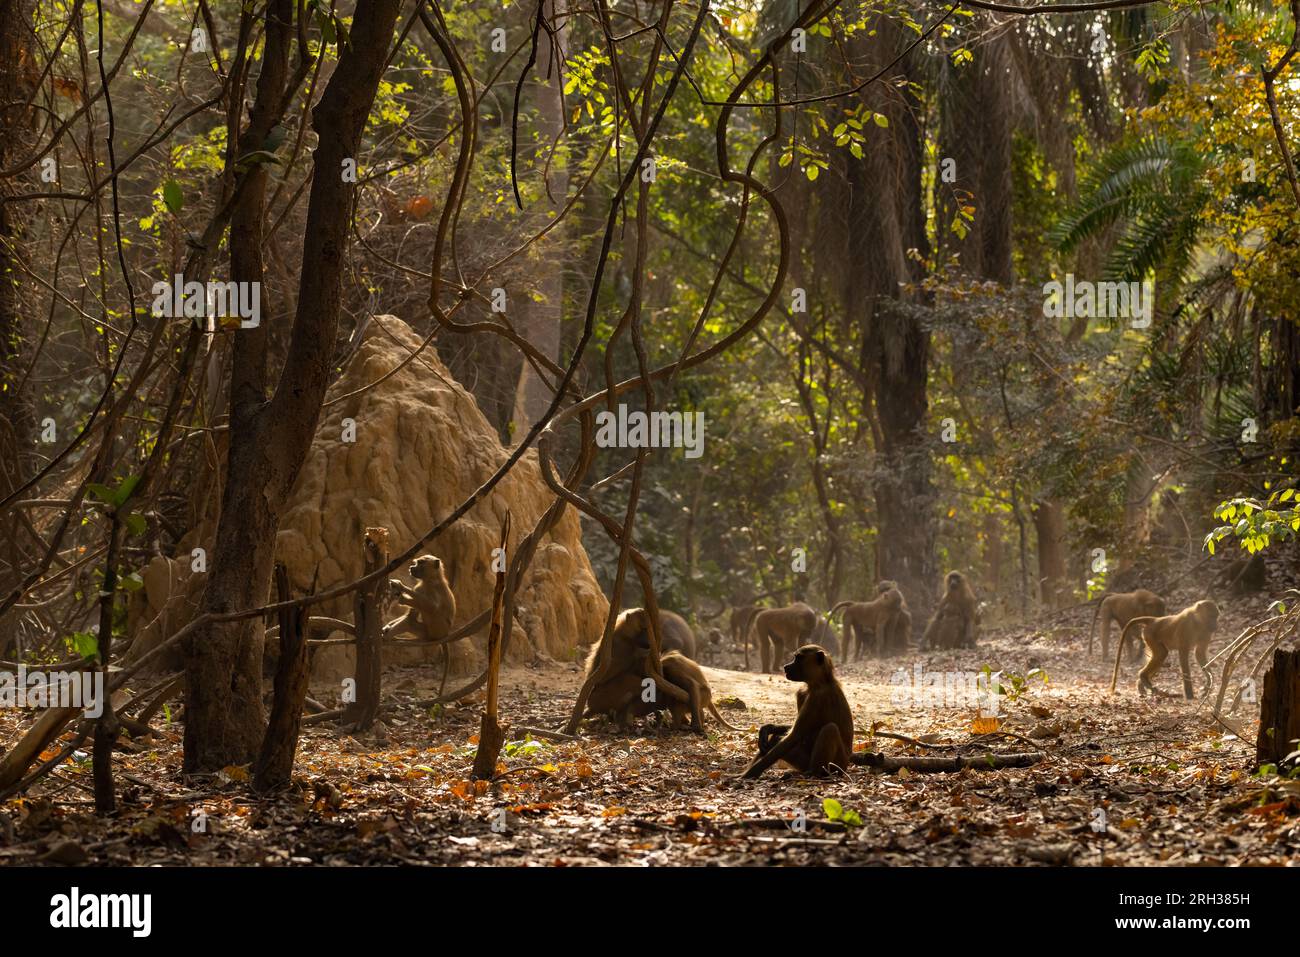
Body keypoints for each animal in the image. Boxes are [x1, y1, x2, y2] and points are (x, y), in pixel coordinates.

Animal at [742, 645, 853, 779]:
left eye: (799, 658)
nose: (786, 666)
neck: (820, 682)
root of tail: (846, 765)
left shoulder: (817, 698)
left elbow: (795, 735)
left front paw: (747, 774)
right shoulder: (801, 692)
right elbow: (795, 733)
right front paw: (768, 728)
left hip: (838, 765)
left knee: (829, 729)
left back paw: (814, 773)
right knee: (777, 739)